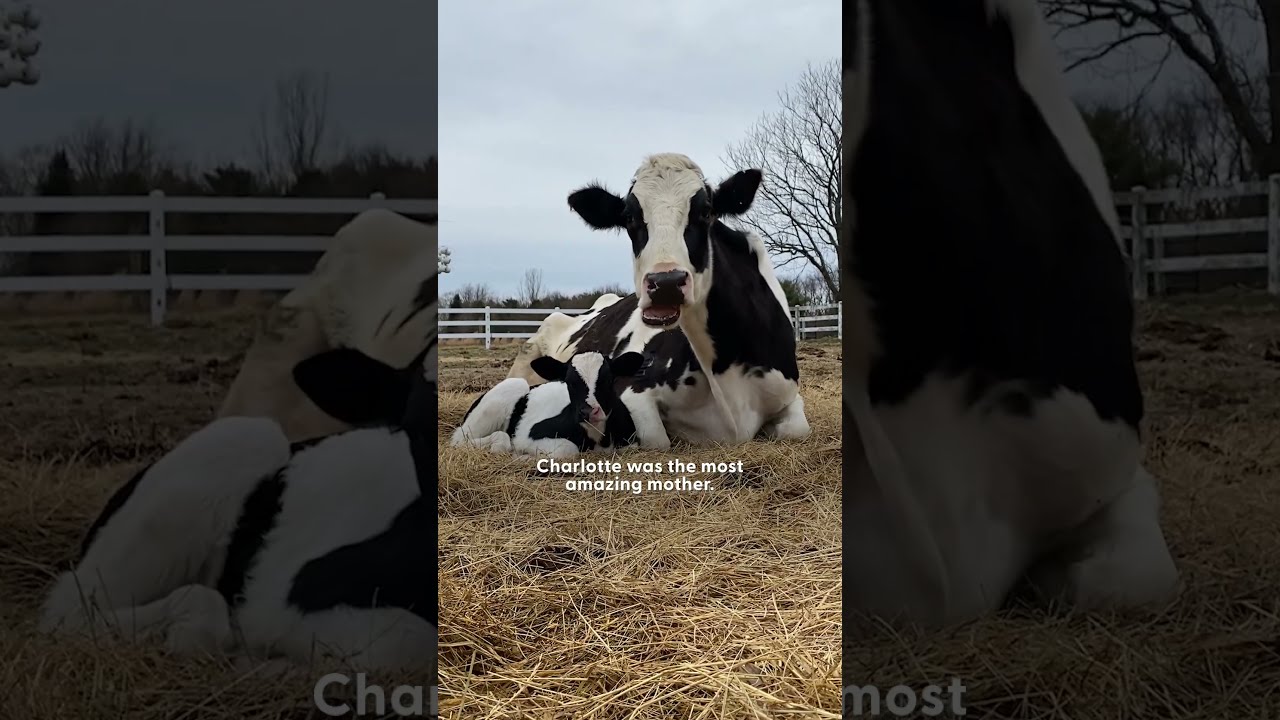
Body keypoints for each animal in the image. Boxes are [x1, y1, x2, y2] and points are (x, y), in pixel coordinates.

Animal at [450, 351, 645, 458]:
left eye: (609, 380)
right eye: (569, 382)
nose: (588, 411)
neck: (598, 439)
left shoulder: (630, 442)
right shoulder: (527, 437)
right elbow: (568, 449)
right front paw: (524, 457)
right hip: (511, 387)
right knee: (460, 439)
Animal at [507, 153, 811, 450]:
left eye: (706, 212)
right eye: (629, 217)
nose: (666, 282)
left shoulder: (789, 394)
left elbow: (796, 429)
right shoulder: (632, 389)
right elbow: (657, 439)